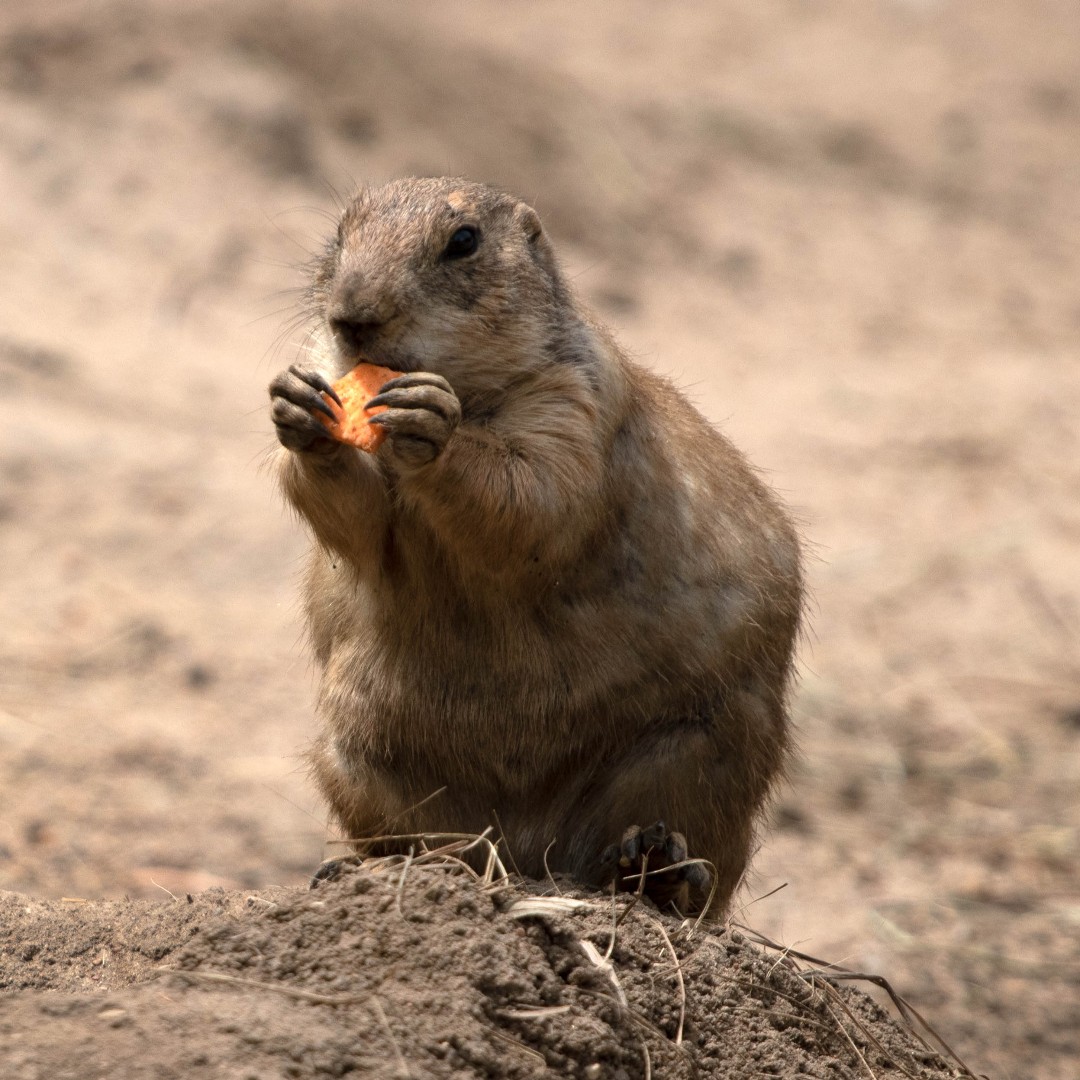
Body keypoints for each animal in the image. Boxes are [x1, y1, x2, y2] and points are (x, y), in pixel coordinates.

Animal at [269, 177, 803, 914]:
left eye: (464, 241)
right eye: (342, 231)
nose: (351, 317)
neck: (468, 387)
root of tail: (524, 854)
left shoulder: (574, 400)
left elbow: (533, 493)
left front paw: (433, 425)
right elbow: (360, 523)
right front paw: (298, 409)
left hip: (706, 745)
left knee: (691, 868)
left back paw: (657, 869)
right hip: (352, 754)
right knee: (432, 842)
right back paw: (375, 866)